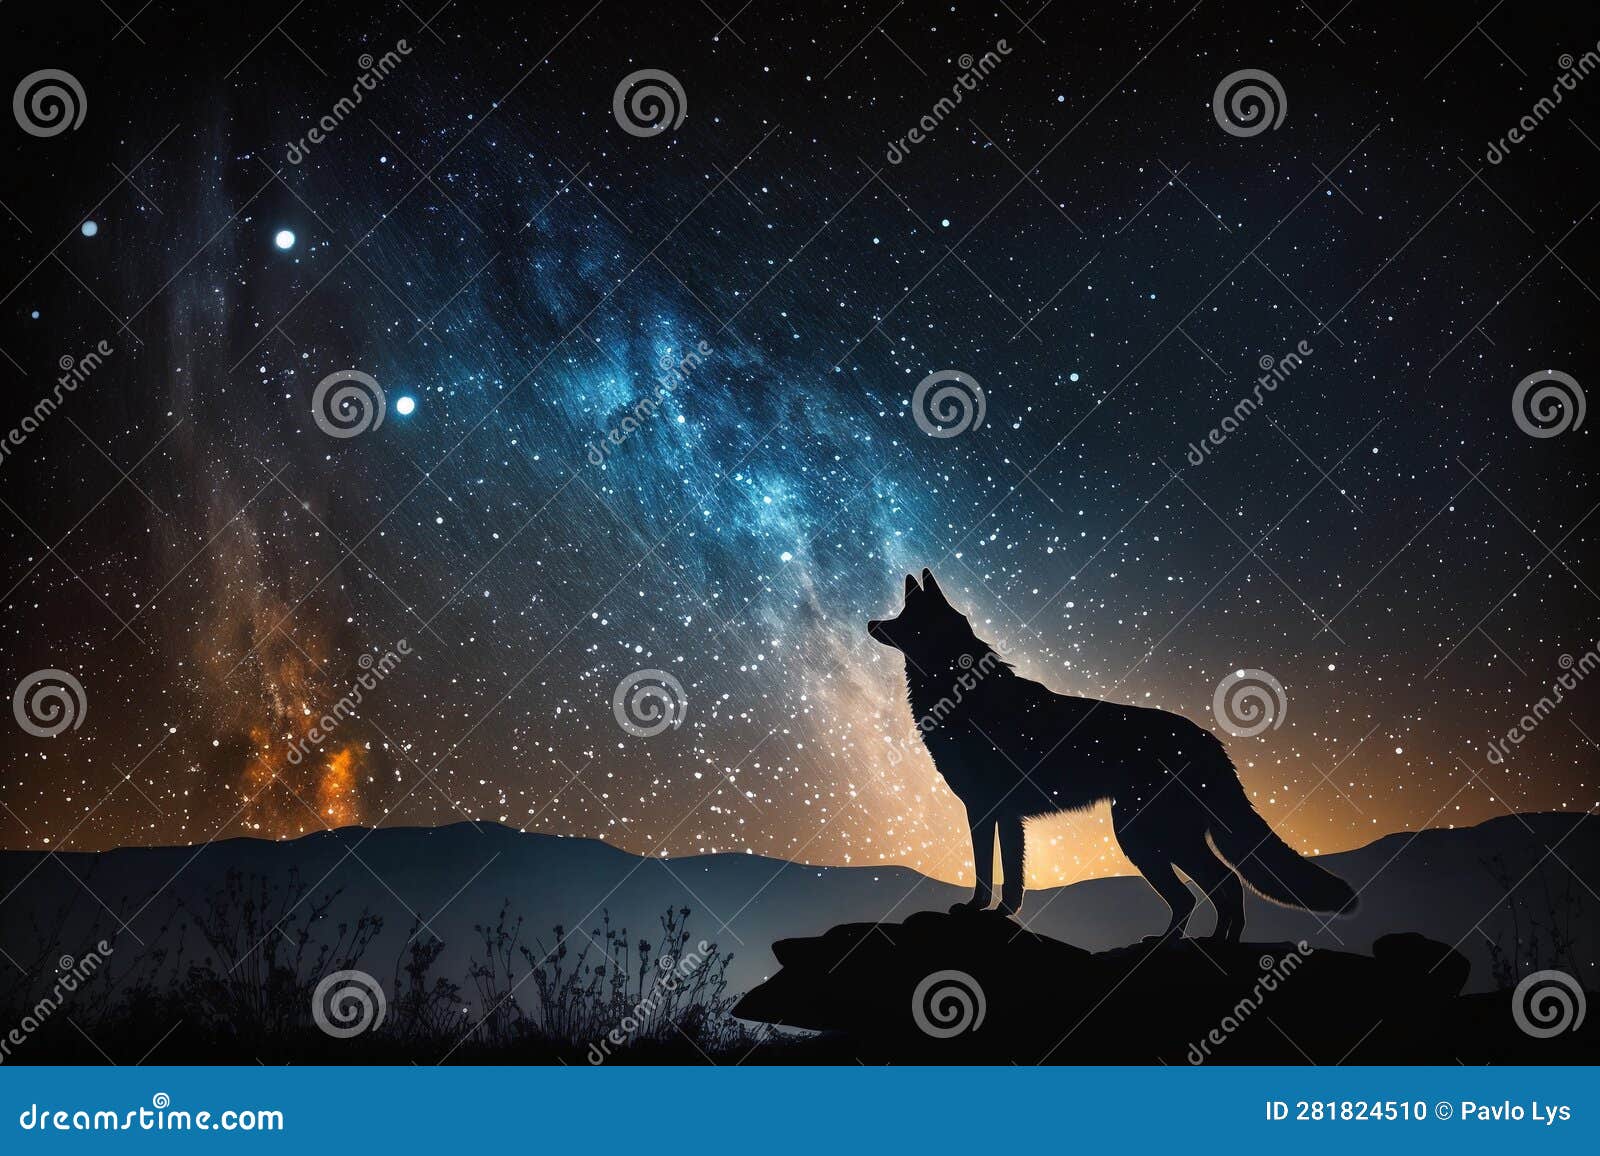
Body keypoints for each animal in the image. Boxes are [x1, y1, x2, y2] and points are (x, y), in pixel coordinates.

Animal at [868, 569, 1357, 940]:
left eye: (903, 616)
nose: (871, 623)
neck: (960, 689)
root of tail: (1209, 741)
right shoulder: (1007, 817)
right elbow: (1014, 879)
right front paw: (1001, 914)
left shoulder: (982, 810)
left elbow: (985, 873)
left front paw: (974, 909)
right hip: (1153, 836)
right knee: (1214, 891)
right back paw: (1201, 944)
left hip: (1142, 835)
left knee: (1215, 889)